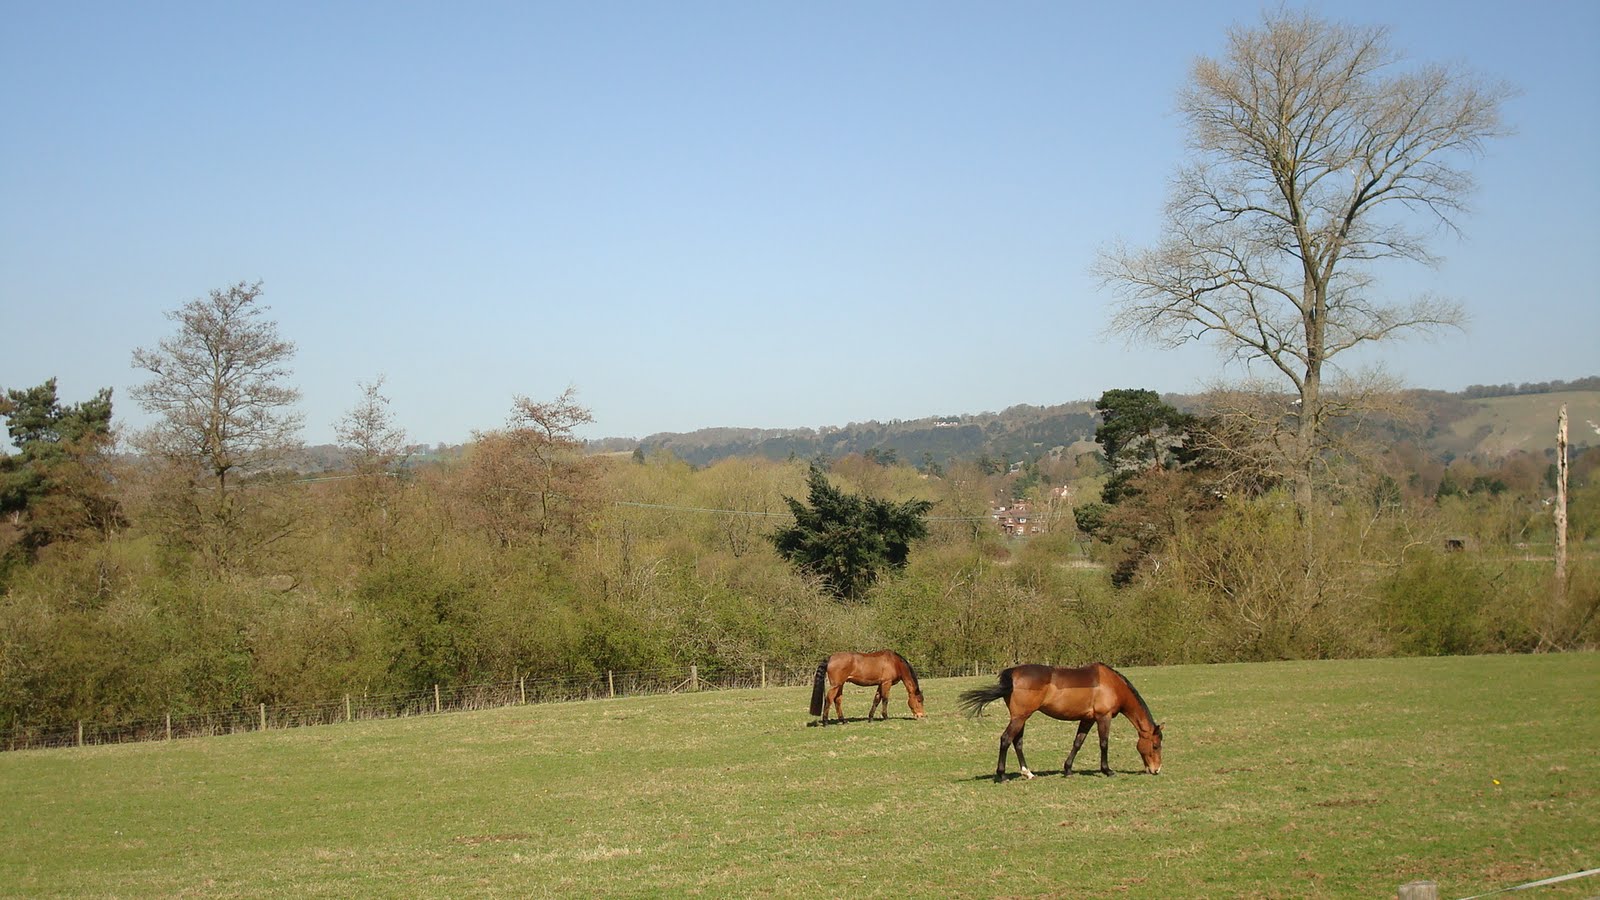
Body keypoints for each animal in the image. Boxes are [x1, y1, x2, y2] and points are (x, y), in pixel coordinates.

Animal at [957, 662, 1162, 782]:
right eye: (1155, 745)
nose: (1156, 770)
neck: (1111, 684)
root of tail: (1013, 673)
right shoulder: (1103, 717)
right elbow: (1104, 743)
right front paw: (1107, 770)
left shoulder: (1087, 719)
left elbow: (1078, 743)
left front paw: (1068, 769)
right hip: (1020, 717)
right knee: (1006, 739)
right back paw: (1001, 775)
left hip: (1021, 717)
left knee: (1017, 742)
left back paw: (1027, 773)